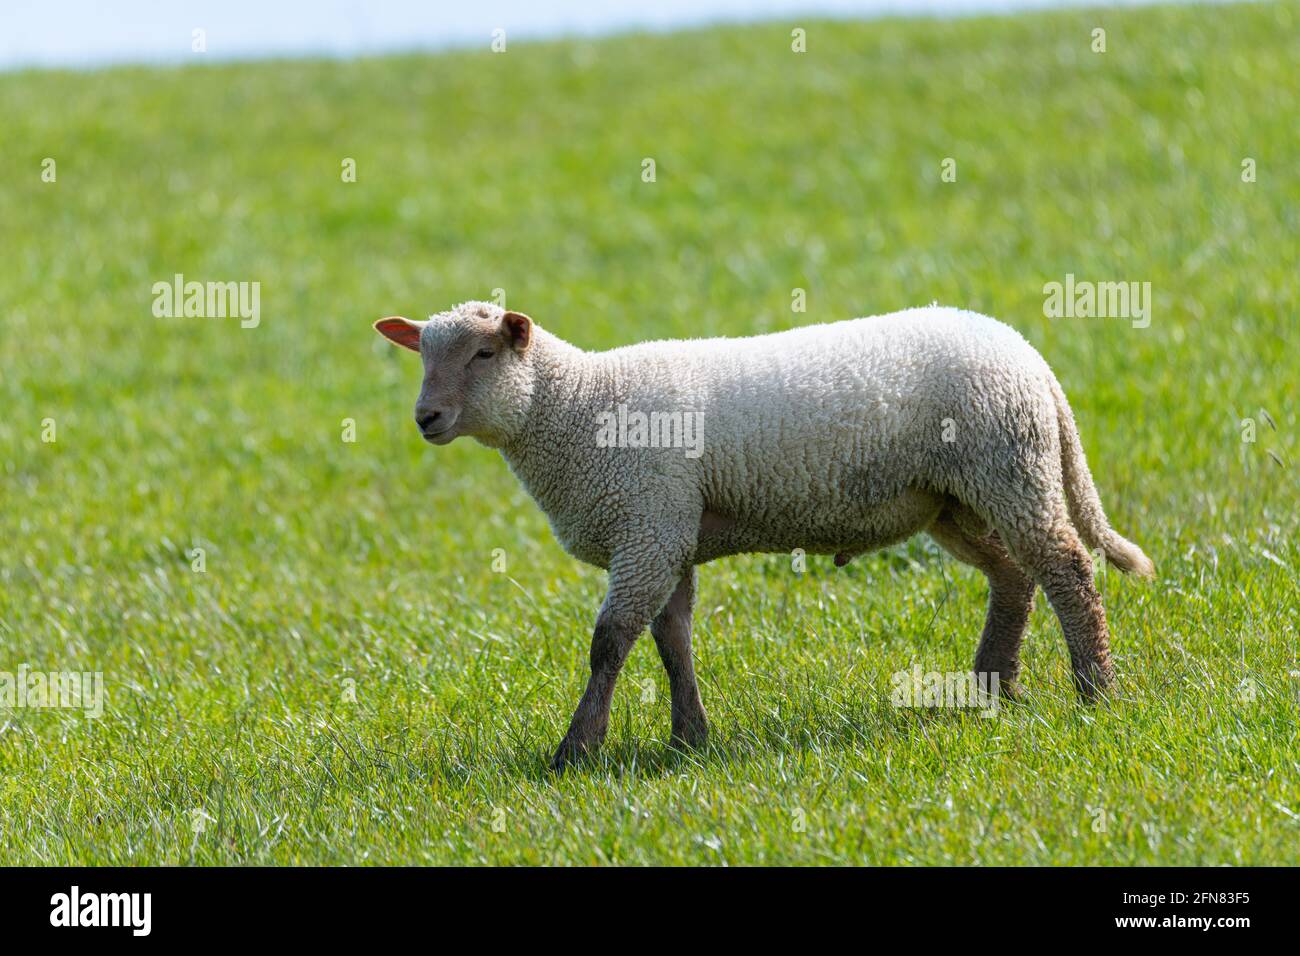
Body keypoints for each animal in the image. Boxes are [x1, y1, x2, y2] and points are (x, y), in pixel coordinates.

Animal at [374, 301, 1154, 770]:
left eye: (483, 355)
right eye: (422, 357)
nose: (425, 418)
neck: (574, 406)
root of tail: (1026, 355)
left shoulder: (646, 527)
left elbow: (611, 643)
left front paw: (577, 749)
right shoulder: (668, 532)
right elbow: (672, 640)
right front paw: (689, 738)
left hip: (1008, 465)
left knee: (1067, 569)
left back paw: (1096, 692)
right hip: (953, 497)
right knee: (1014, 575)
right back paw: (995, 686)